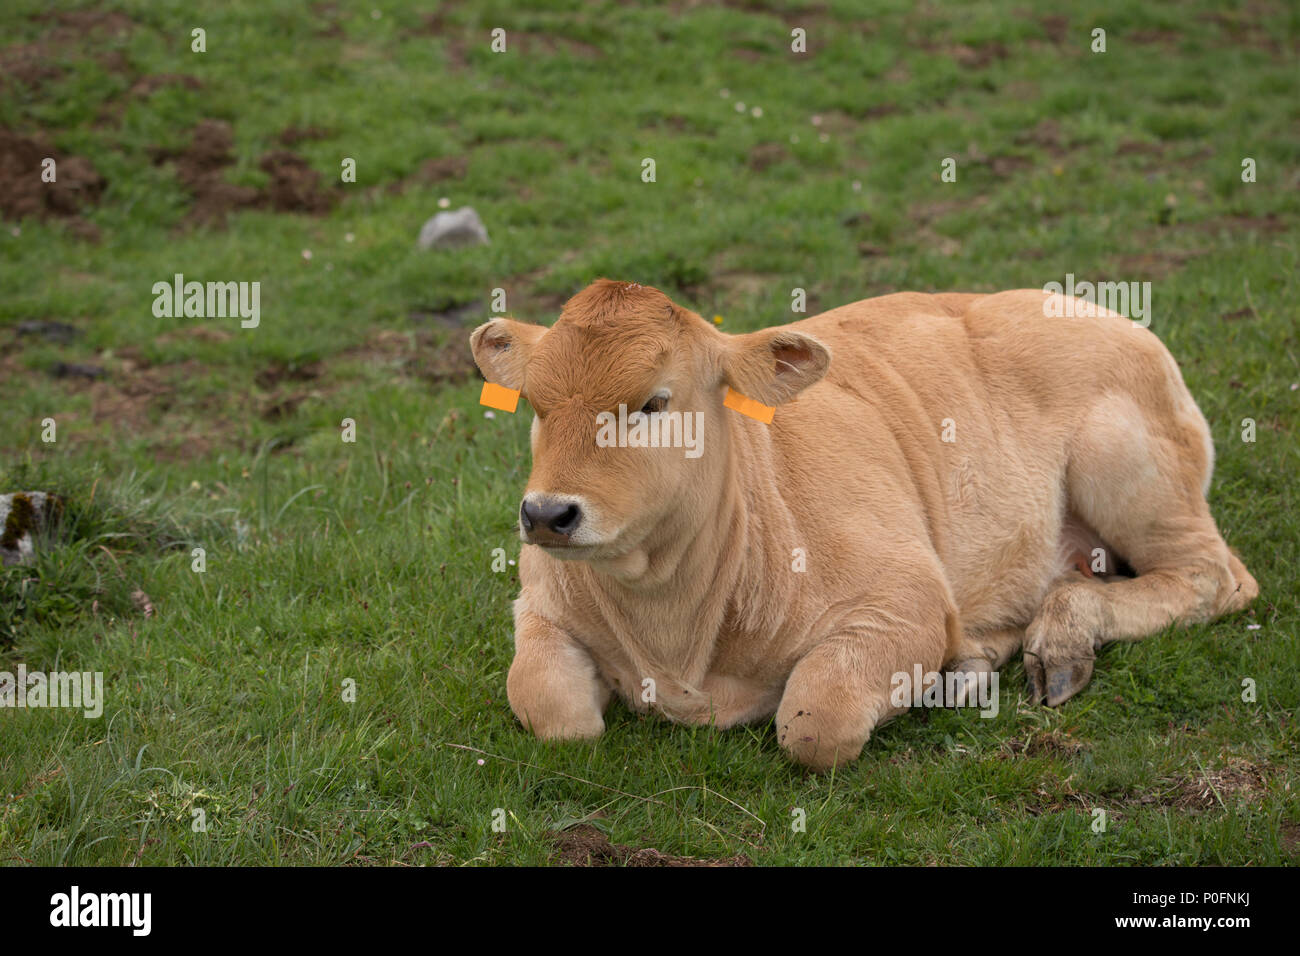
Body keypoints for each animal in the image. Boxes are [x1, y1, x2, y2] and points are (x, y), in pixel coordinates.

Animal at [469, 279, 1258, 770]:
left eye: (655, 403)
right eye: (535, 404)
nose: (547, 514)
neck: (675, 632)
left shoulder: (906, 598)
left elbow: (815, 717)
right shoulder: (539, 603)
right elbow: (551, 706)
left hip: (1128, 464)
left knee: (1214, 577)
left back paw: (1060, 638)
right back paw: (974, 661)